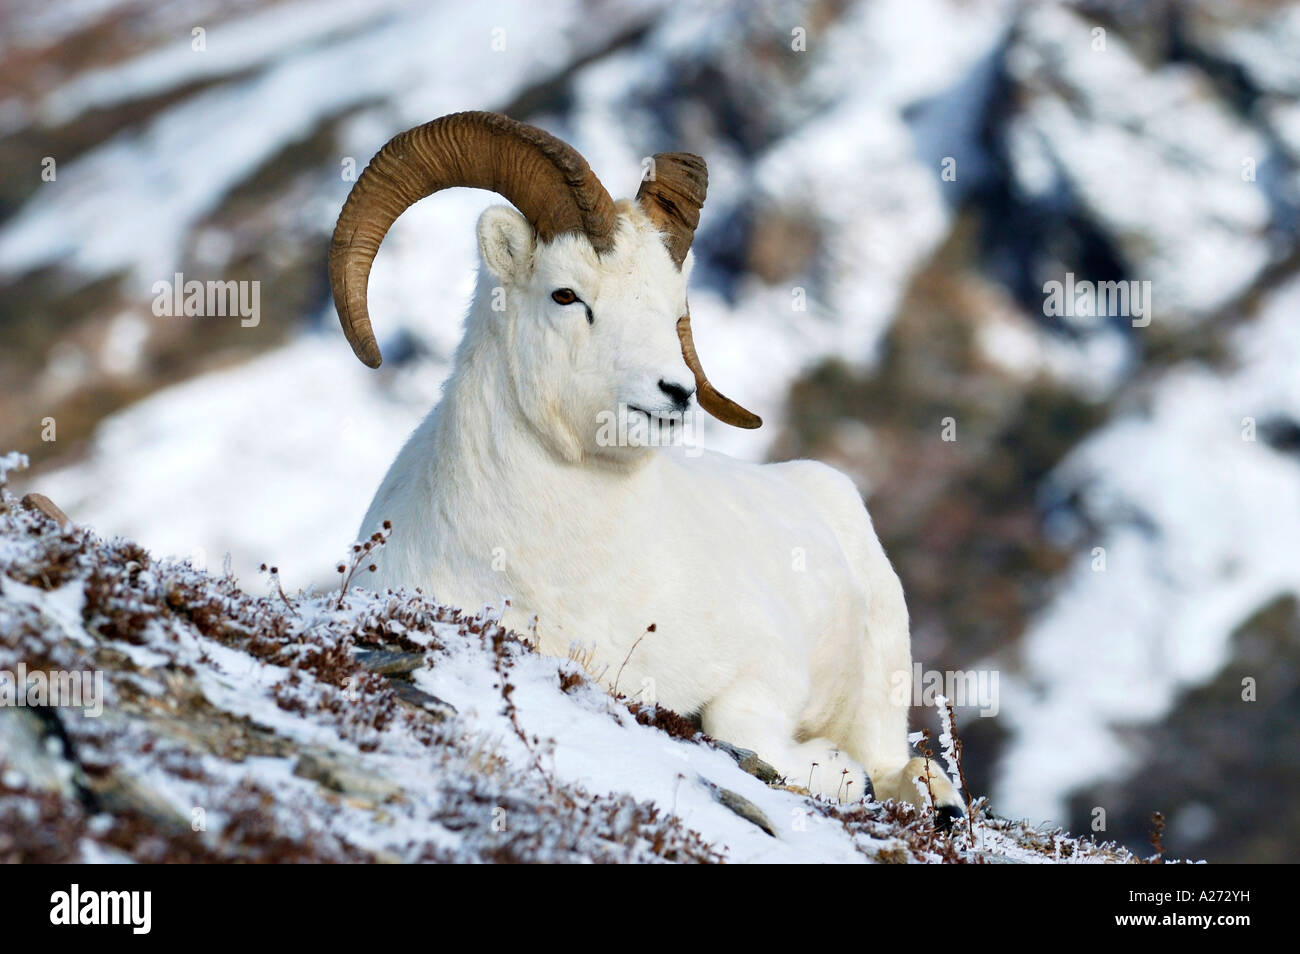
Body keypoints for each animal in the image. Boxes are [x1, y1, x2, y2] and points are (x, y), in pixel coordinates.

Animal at [330, 111, 964, 820]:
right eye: (566, 294)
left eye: (674, 309)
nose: (676, 392)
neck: (565, 578)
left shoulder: (767, 663)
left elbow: (737, 724)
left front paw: (836, 771)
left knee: (892, 759)